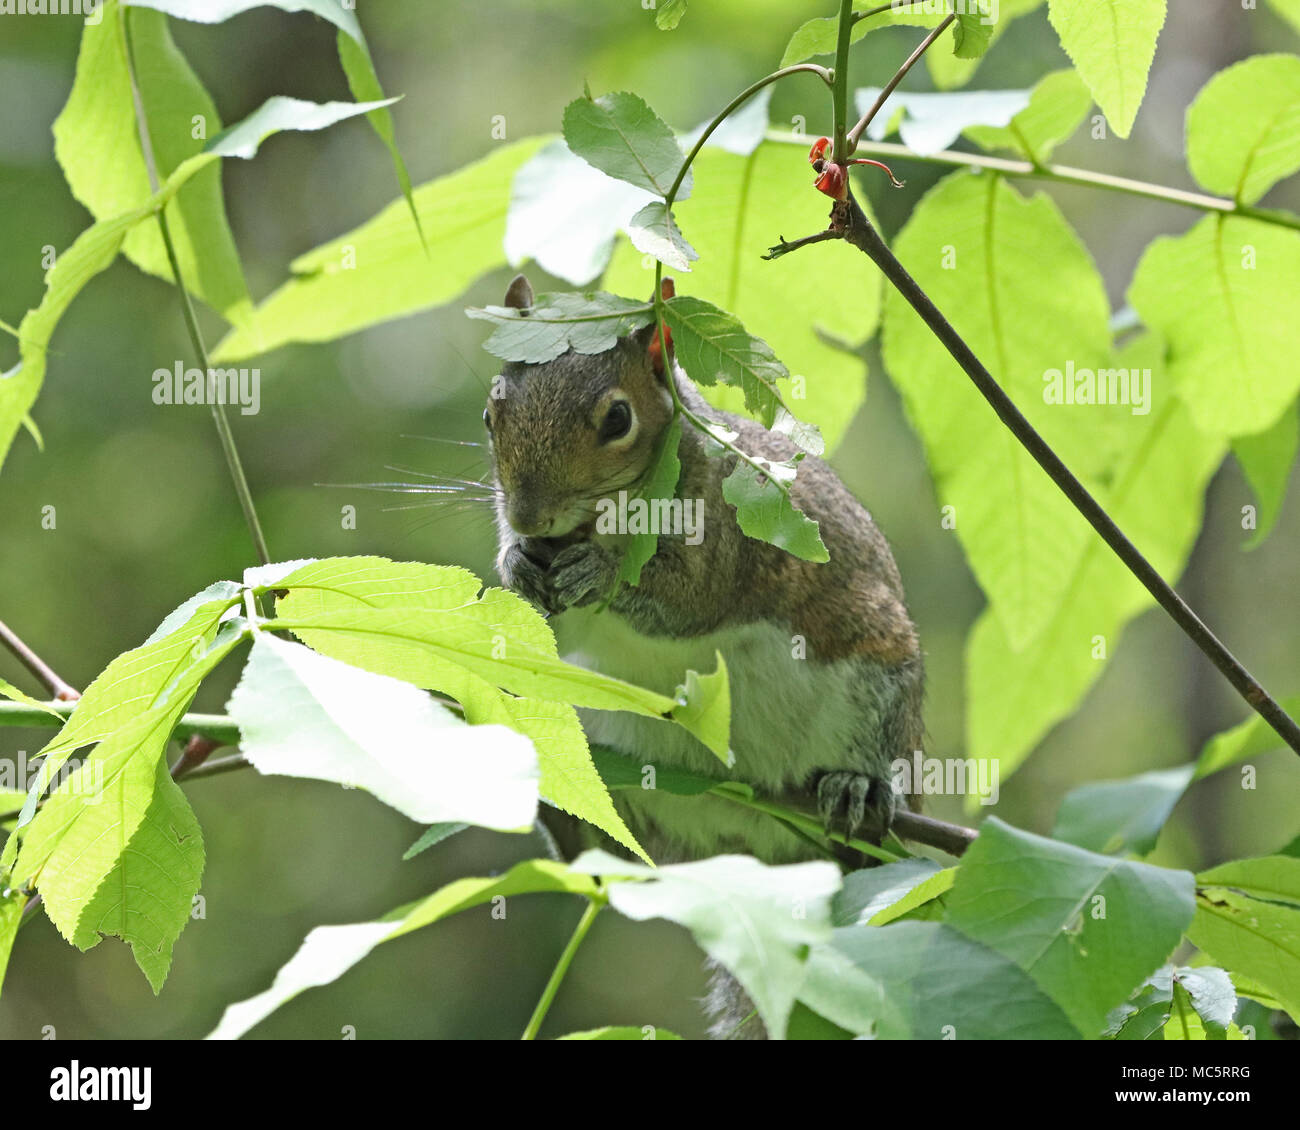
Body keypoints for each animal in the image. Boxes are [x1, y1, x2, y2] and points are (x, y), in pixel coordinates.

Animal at [485, 273, 925, 1035]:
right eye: (490, 413)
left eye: (617, 420)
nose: (528, 517)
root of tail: (748, 855)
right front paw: (517, 565)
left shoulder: (725, 530)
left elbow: (686, 598)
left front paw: (599, 573)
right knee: (600, 859)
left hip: (881, 674)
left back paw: (859, 789)